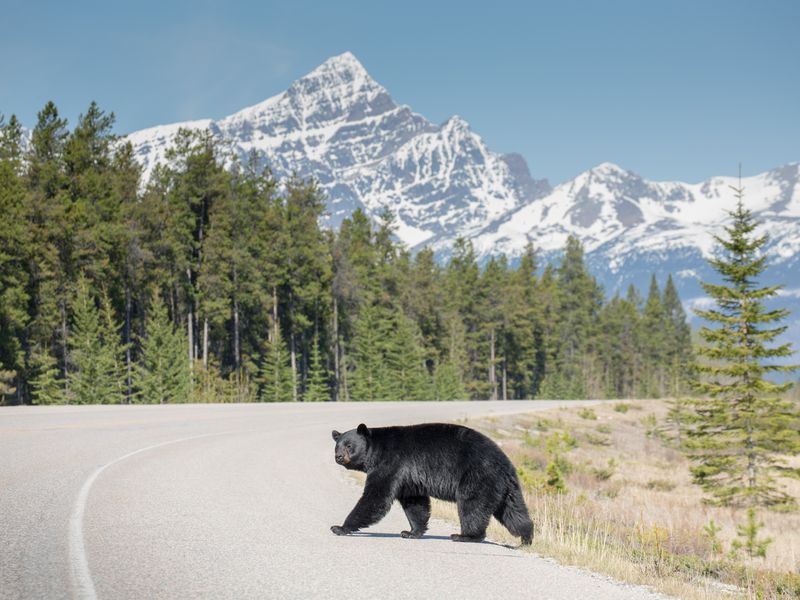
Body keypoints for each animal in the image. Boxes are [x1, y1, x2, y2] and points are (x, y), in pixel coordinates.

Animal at [330, 422, 533, 545]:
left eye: (349, 446)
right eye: (337, 446)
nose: (338, 456)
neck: (375, 451)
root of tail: (506, 463)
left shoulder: (390, 463)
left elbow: (376, 498)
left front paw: (340, 527)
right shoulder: (408, 478)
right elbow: (415, 503)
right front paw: (411, 532)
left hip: (478, 477)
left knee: (472, 506)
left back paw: (465, 535)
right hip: (506, 489)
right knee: (514, 512)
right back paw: (526, 537)